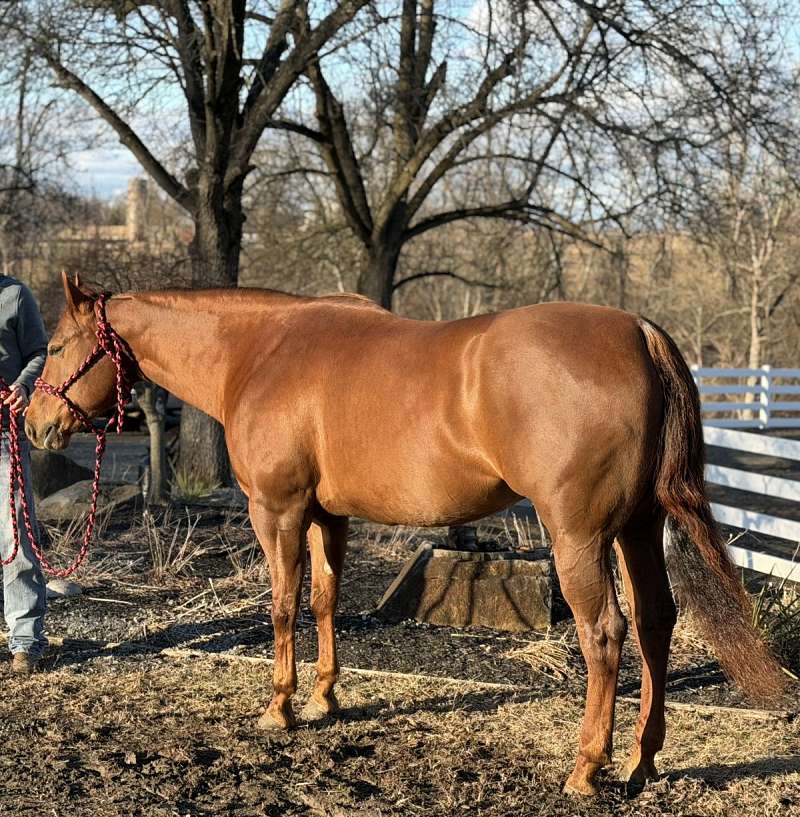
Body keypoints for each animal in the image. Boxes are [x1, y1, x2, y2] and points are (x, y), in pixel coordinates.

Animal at [25, 272, 785, 796]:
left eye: (58, 345)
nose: (33, 424)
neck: (261, 351)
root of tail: (637, 331)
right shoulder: (328, 515)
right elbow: (325, 601)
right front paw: (325, 699)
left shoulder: (278, 510)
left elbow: (282, 606)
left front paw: (278, 708)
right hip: (637, 527)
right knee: (656, 621)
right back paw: (640, 760)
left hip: (579, 537)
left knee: (605, 635)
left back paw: (585, 768)